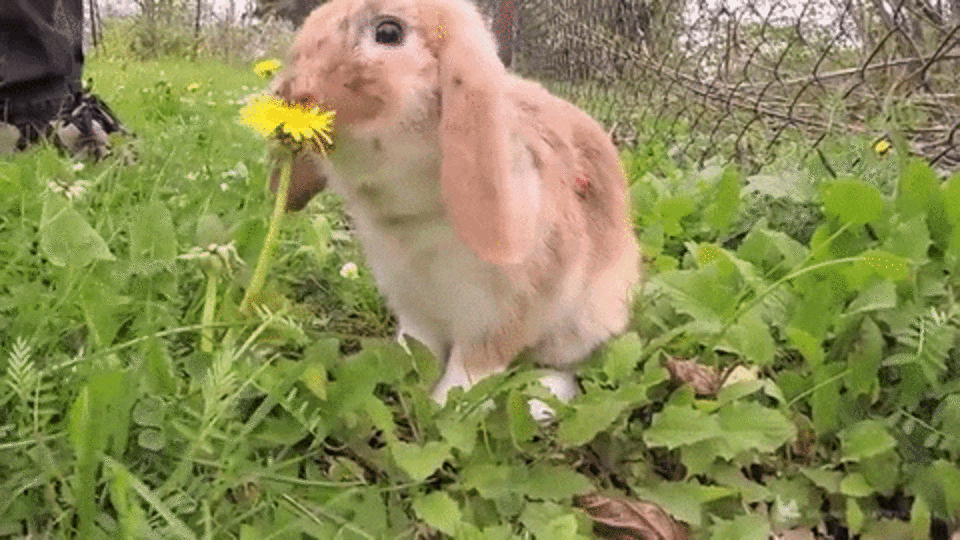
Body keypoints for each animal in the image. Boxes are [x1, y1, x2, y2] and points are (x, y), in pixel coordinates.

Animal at [270, 0, 641, 418]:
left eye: (388, 32)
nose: (294, 93)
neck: (420, 211)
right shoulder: (412, 303)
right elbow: (417, 346)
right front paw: (400, 373)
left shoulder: (500, 314)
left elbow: (474, 369)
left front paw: (447, 409)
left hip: (580, 325)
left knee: (562, 364)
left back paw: (539, 403)